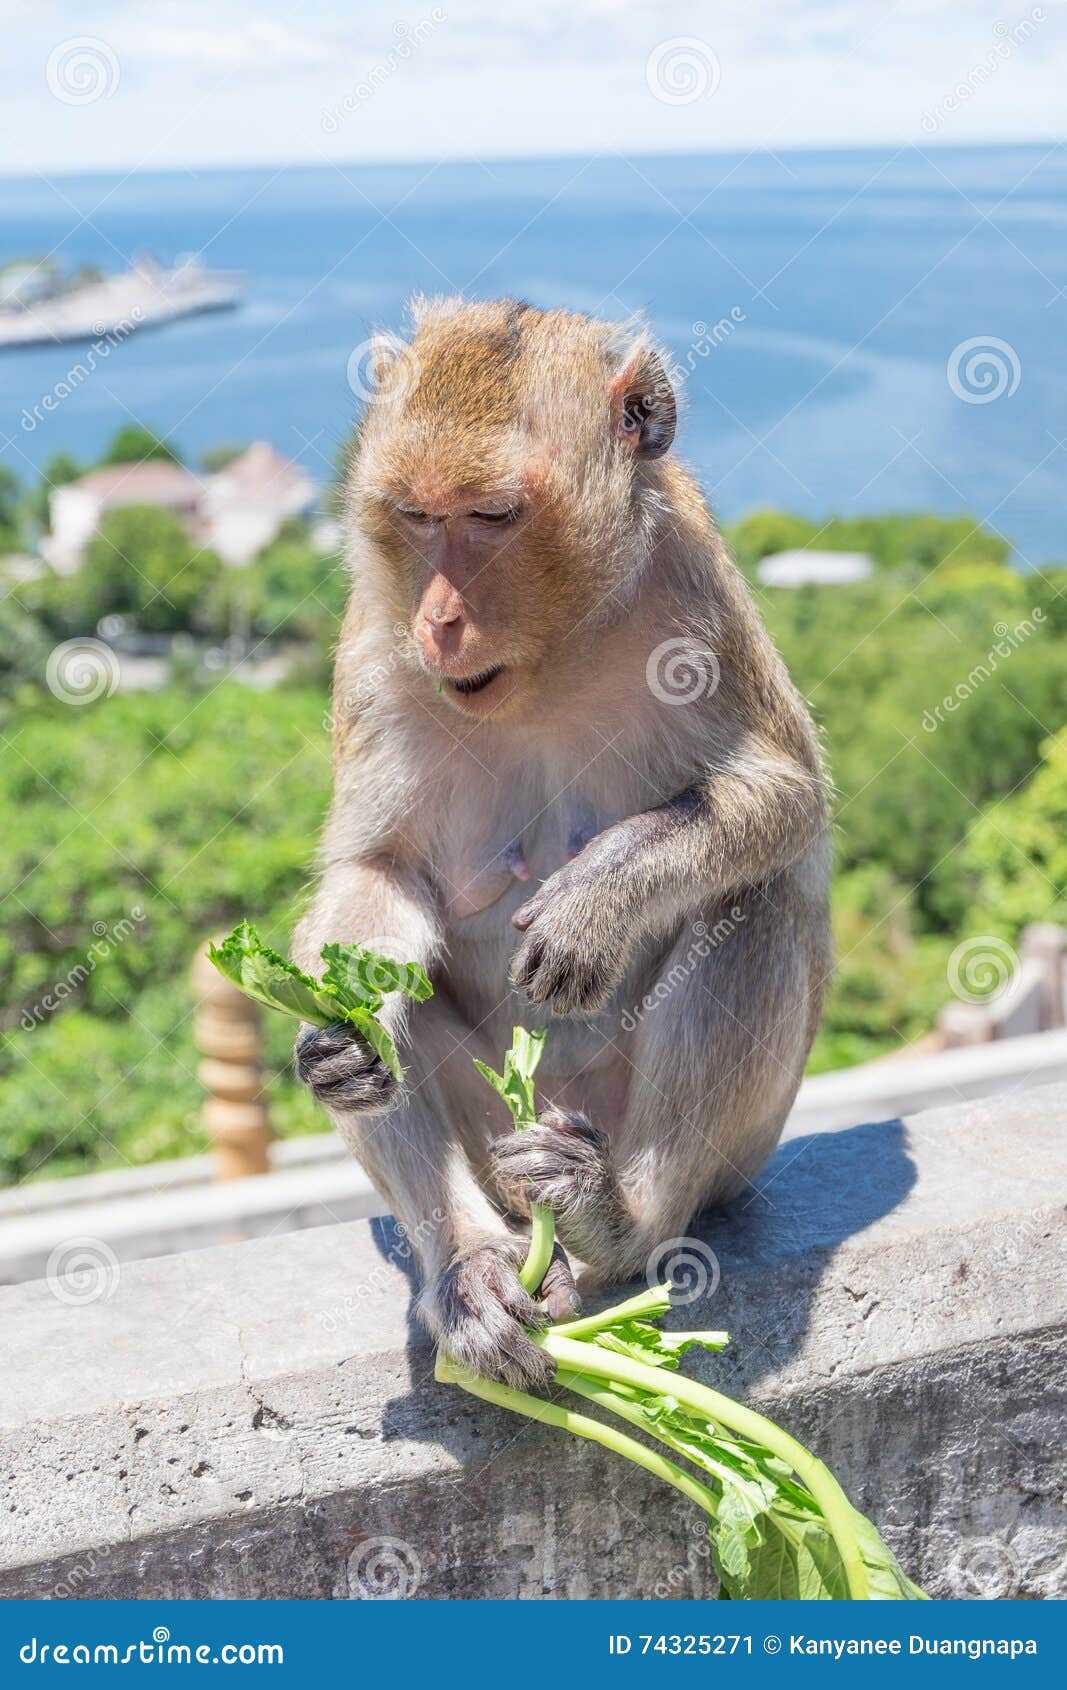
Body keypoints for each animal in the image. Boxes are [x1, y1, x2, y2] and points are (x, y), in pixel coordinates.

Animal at [292, 296, 831, 1392]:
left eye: (491, 516)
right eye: (416, 517)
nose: (440, 621)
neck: (551, 650)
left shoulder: (689, 582)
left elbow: (784, 795)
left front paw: (597, 899)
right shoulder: (373, 636)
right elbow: (375, 877)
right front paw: (340, 1033)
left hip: (717, 1149)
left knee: (751, 901)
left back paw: (619, 1217)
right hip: (496, 1129)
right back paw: (467, 1270)